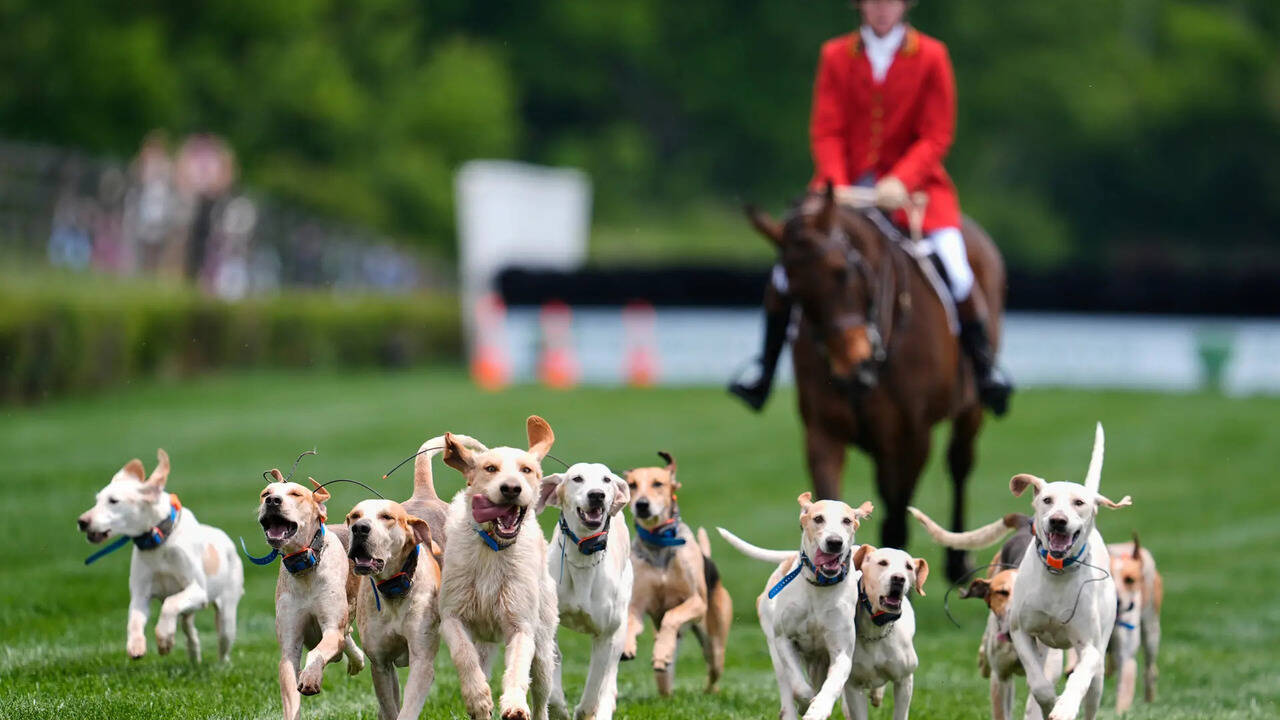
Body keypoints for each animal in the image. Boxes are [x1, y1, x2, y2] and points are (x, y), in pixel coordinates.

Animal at [745, 186, 1007, 582]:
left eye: (842, 272)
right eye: (792, 292)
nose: (852, 363)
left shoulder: (912, 439)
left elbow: (897, 517)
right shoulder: (823, 433)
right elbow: (828, 499)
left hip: (970, 410)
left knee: (959, 466)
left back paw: (957, 560)